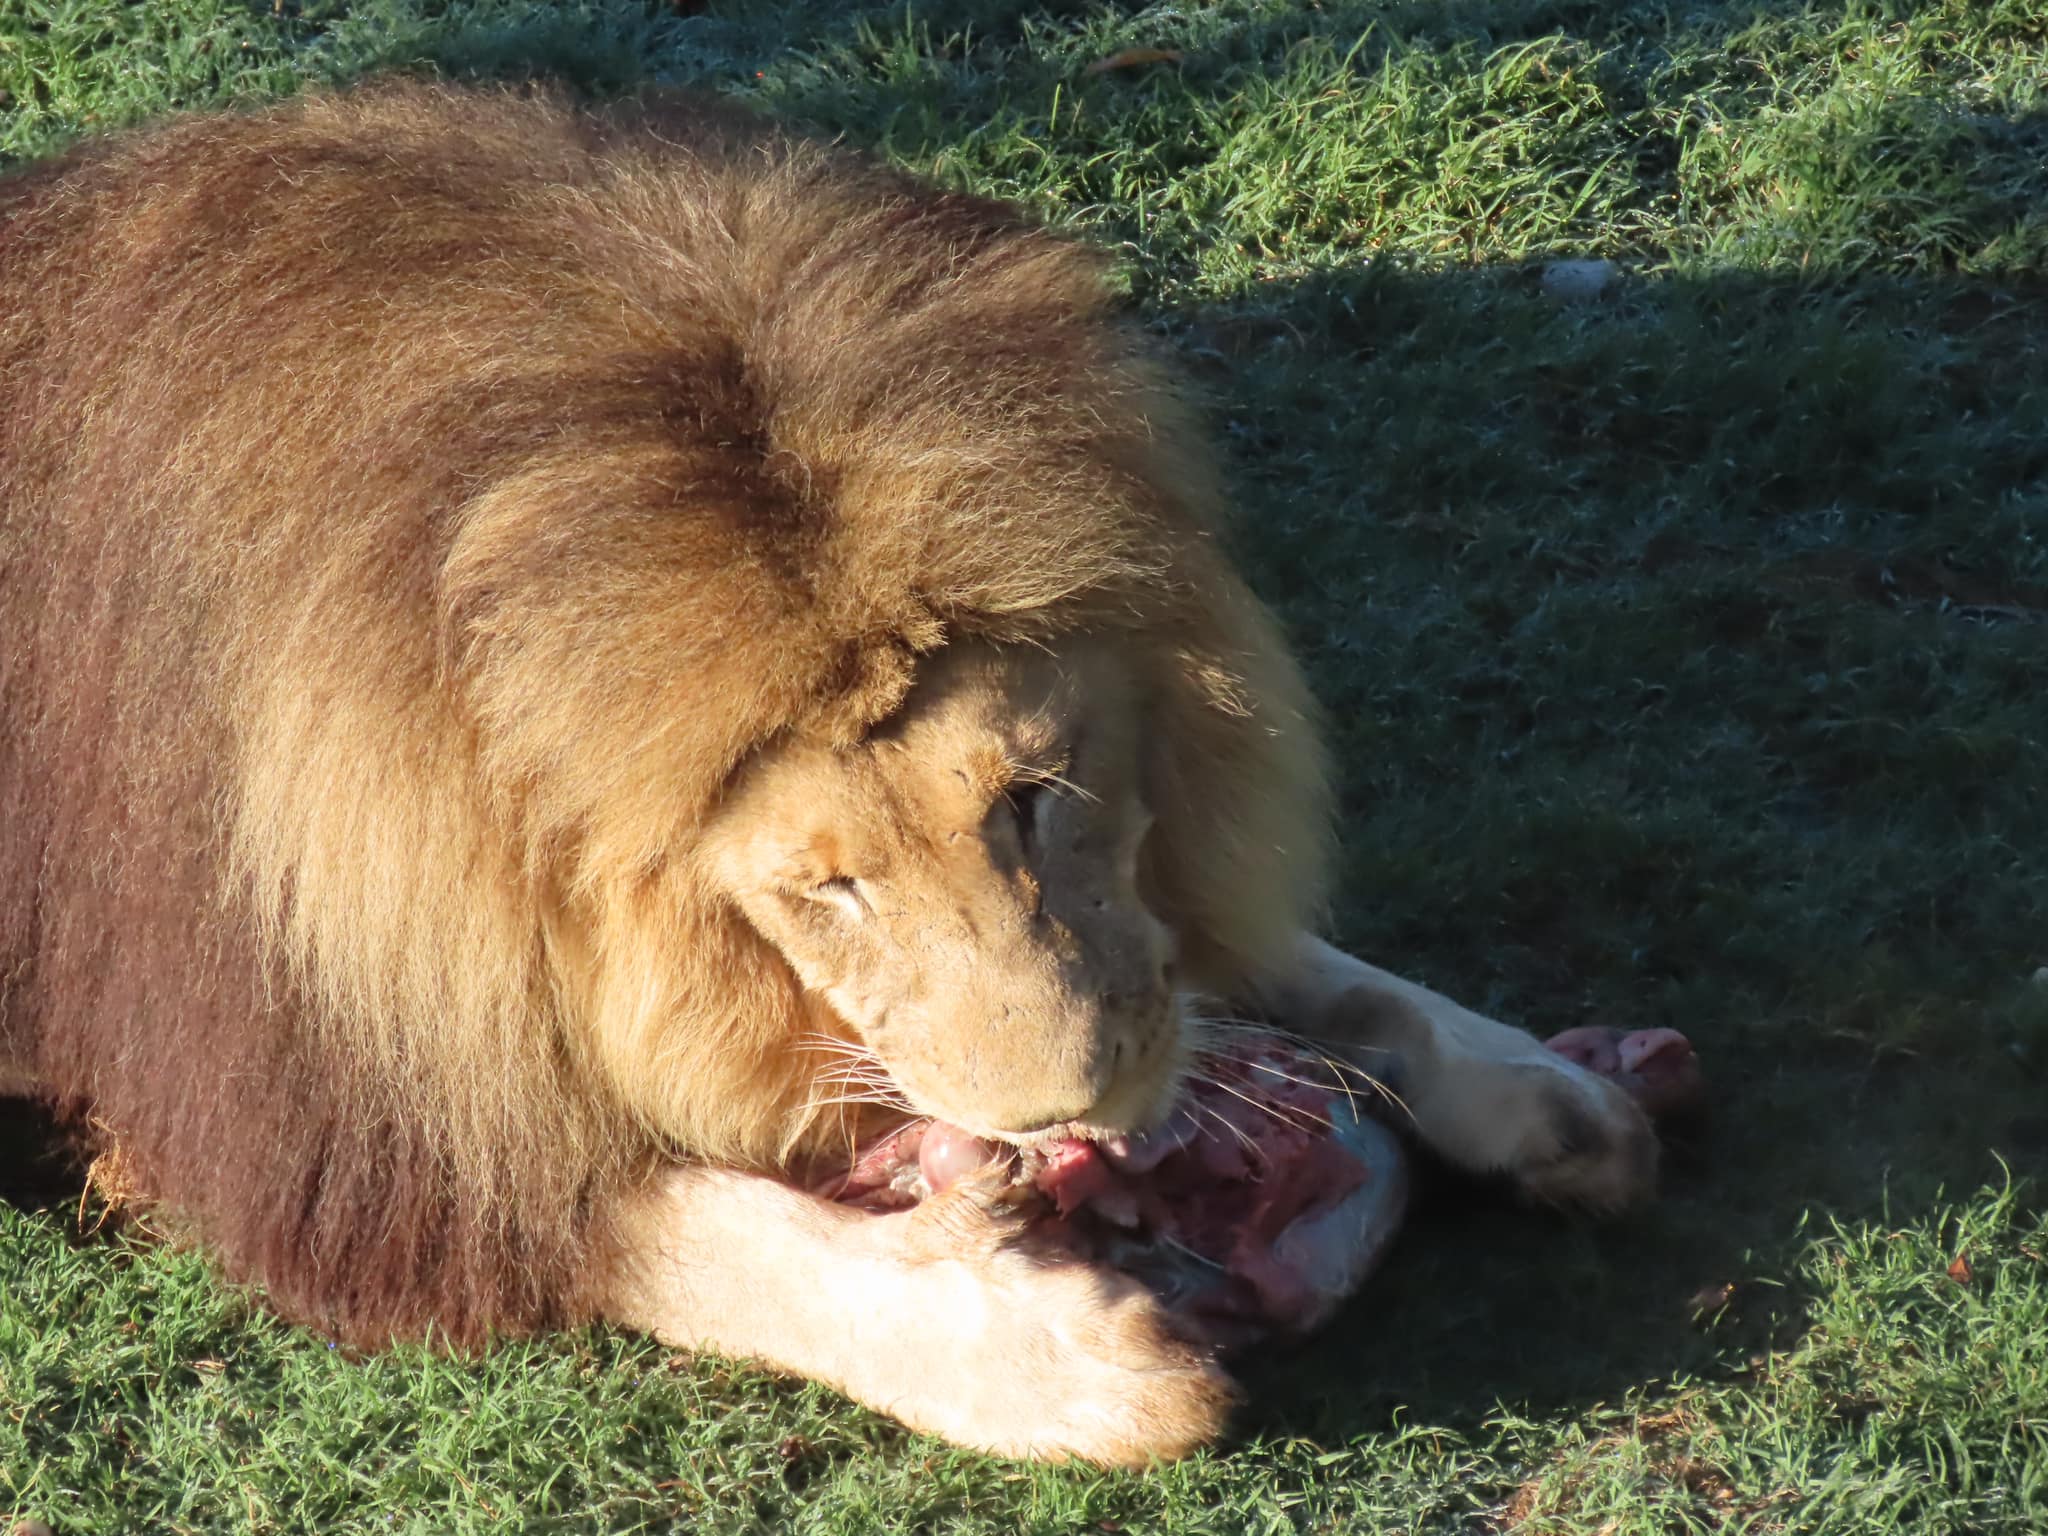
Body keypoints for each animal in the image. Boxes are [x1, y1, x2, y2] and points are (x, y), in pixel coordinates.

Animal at [0, 81, 1665, 1465]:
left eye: (1036, 797)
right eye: (830, 891)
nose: (1072, 1112)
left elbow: (1272, 962)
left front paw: (1529, 1080)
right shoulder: (339, 1119)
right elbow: (704, 1231)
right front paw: (1057, 1360)